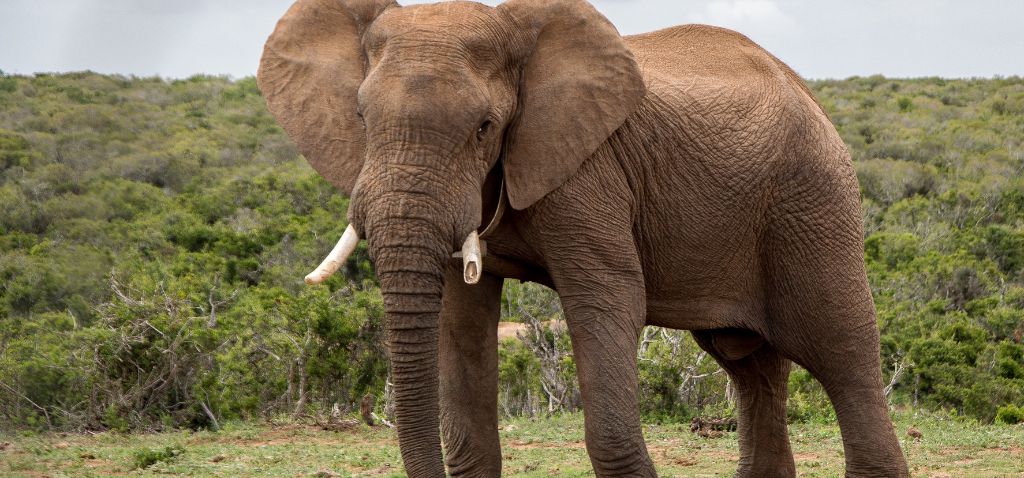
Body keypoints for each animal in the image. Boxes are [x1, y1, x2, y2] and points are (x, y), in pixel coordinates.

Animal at [256, 0, 909, 476]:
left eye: (485, 127)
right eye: (362, 120)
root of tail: (809, 95)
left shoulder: (589, 172)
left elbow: (609, 300)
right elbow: (459, 320)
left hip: (813, 202)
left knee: (843, 354)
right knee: (751, 367)